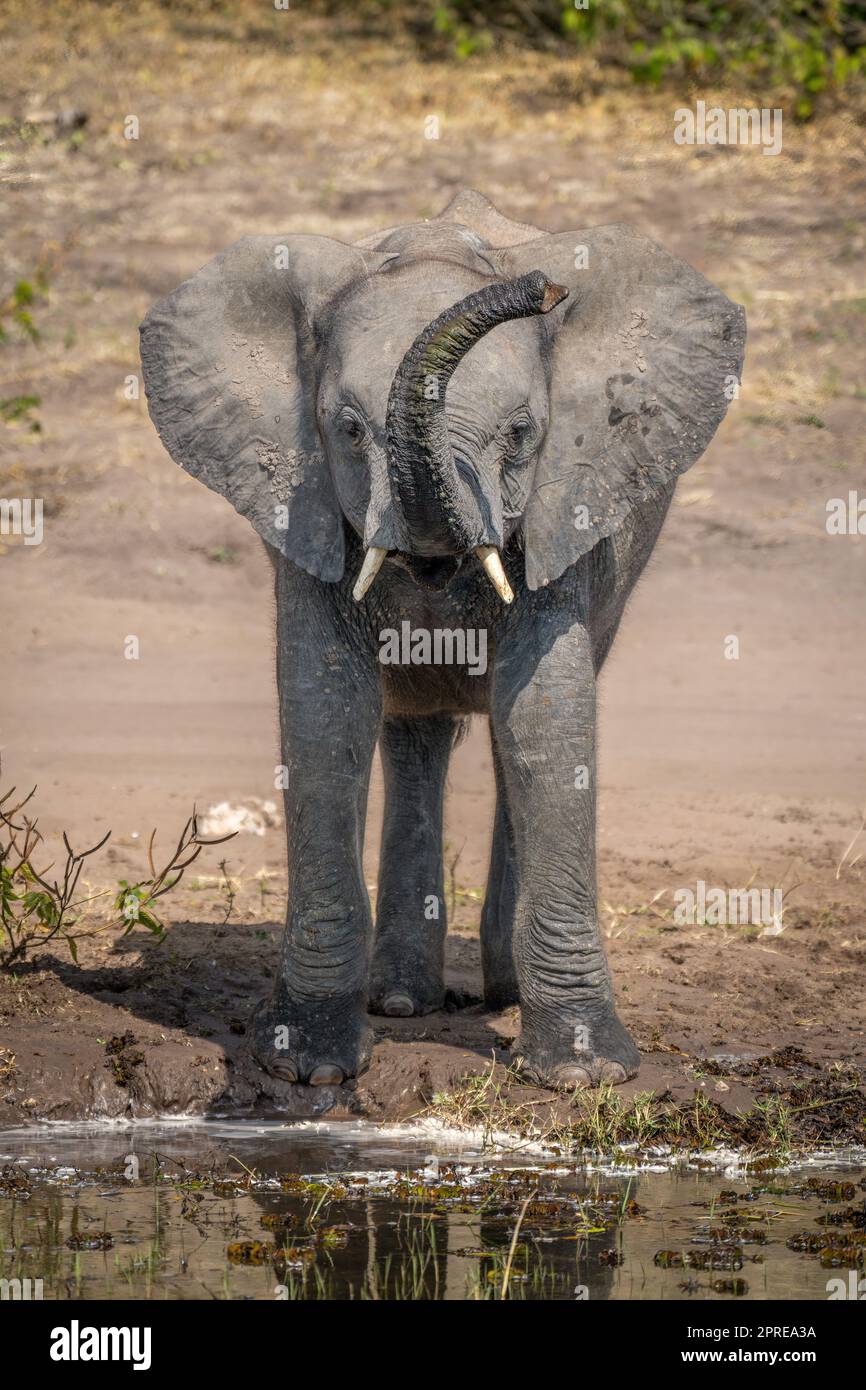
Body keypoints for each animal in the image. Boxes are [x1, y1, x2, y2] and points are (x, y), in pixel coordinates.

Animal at [140, 189, 745, 1091]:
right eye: (348, 428)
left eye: (523, 432)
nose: (545, 288)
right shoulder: (304, 501)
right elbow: (326, 712)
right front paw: (308, 1067)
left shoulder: (567, 499)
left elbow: (544, 716)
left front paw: (583, 1075)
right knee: (413, 733)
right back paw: (399, 1002)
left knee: (501, 731)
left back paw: (499, 991)